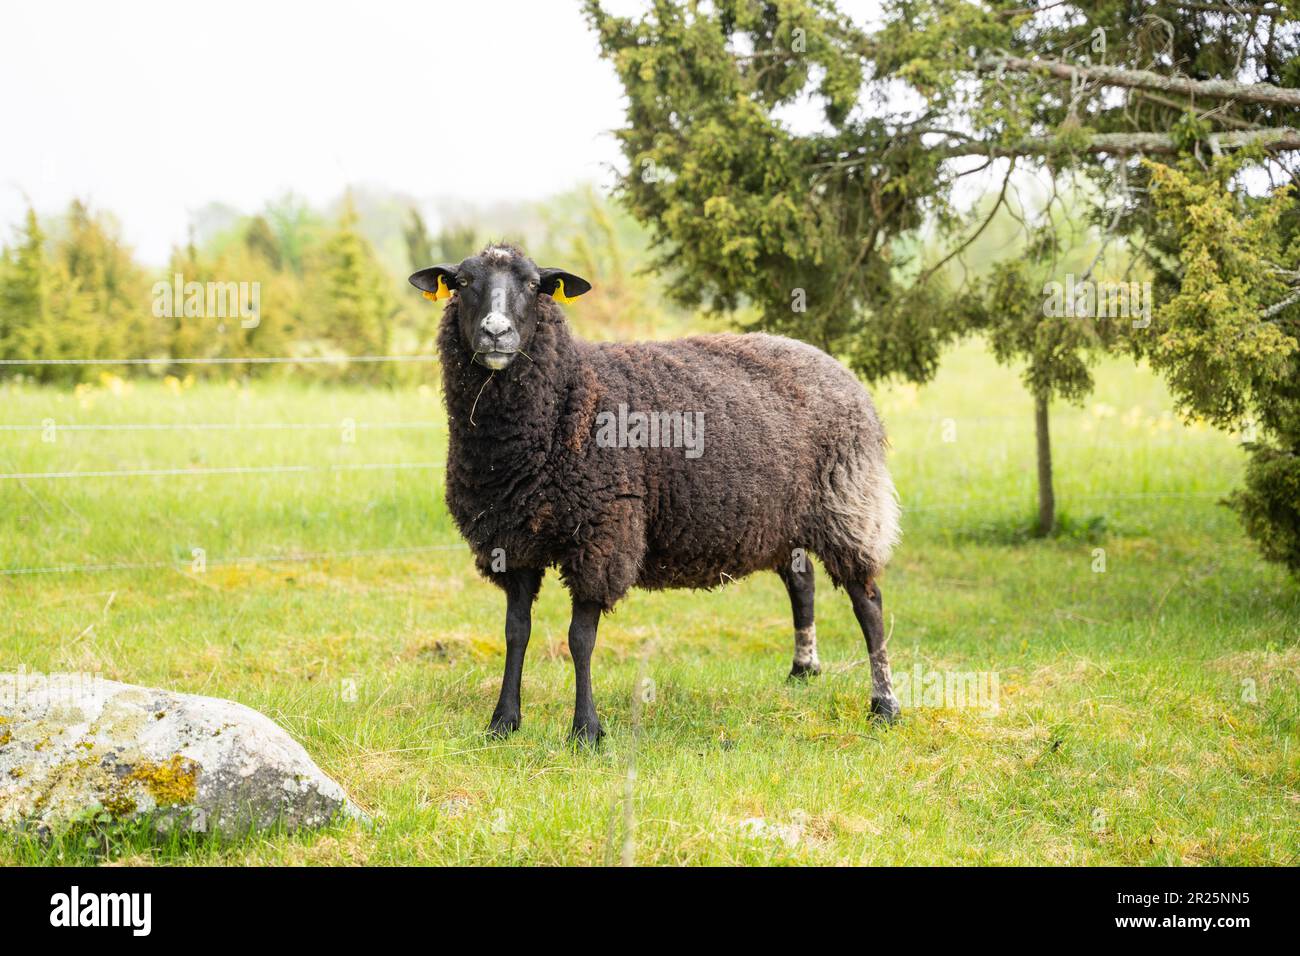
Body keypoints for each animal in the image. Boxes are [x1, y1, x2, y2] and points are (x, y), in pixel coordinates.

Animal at [411, 243, 901, 743]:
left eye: (533, 284)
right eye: (463, 283)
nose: (496, 332)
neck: (567, 398)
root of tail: (835, 366)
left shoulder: (602, 537)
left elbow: (579, 639)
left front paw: (586, 730)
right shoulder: (511, 543)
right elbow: (516, 631)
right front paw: (504, 722)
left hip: (847, 501)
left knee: (868, 602)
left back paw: (884, 705)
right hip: (784, 515)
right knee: (802, 583)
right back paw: (804, 670)